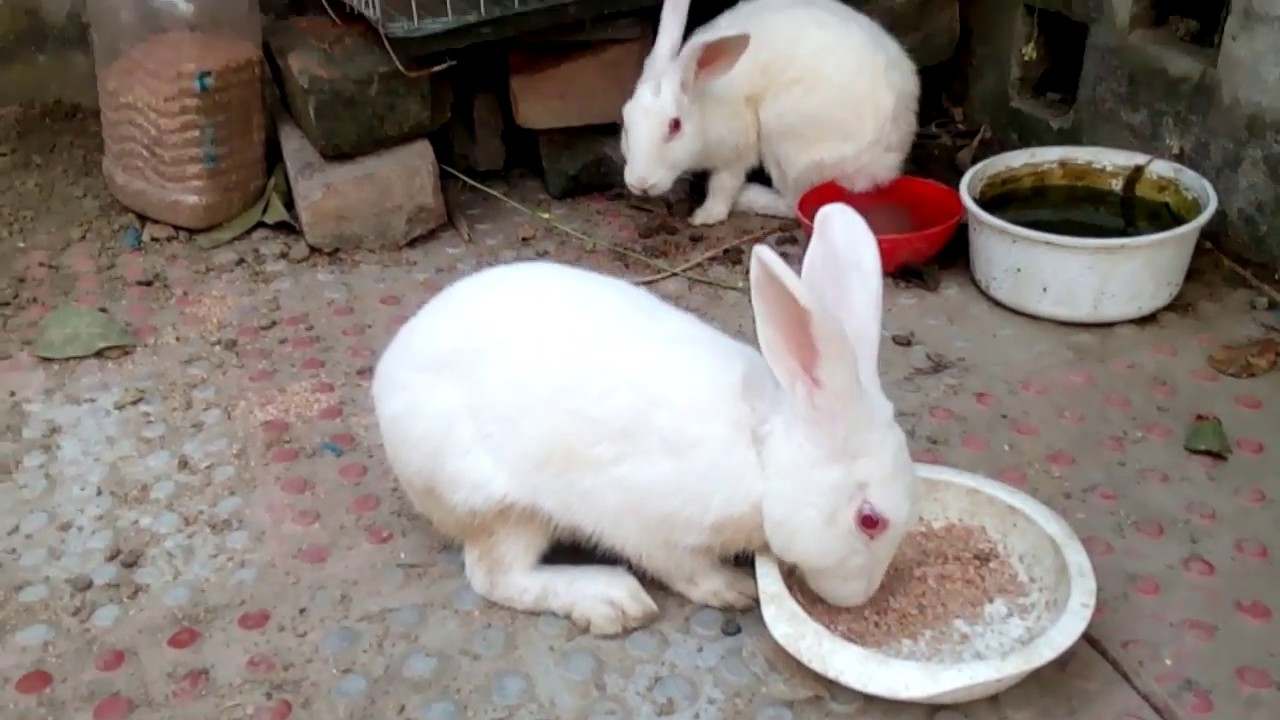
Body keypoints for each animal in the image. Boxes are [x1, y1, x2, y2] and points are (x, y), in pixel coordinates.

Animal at [371, 202, 919, 636]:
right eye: (870, 521)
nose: (859, 598)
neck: (762, 456)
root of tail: (385, 382)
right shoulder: (647, 524)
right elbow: (685, 568)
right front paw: (733, 589)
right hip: (507, 507)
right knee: (496, 576)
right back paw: (611, 601)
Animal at [620, 0, 920, 227]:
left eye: (675, 125)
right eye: (625, 122)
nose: (639, 183)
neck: (704, 103)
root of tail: (887, 159)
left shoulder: (739, 148)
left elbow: (723, 184)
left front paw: (705, 216)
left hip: (788, 145)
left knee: (796, 202)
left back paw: (749, 196)